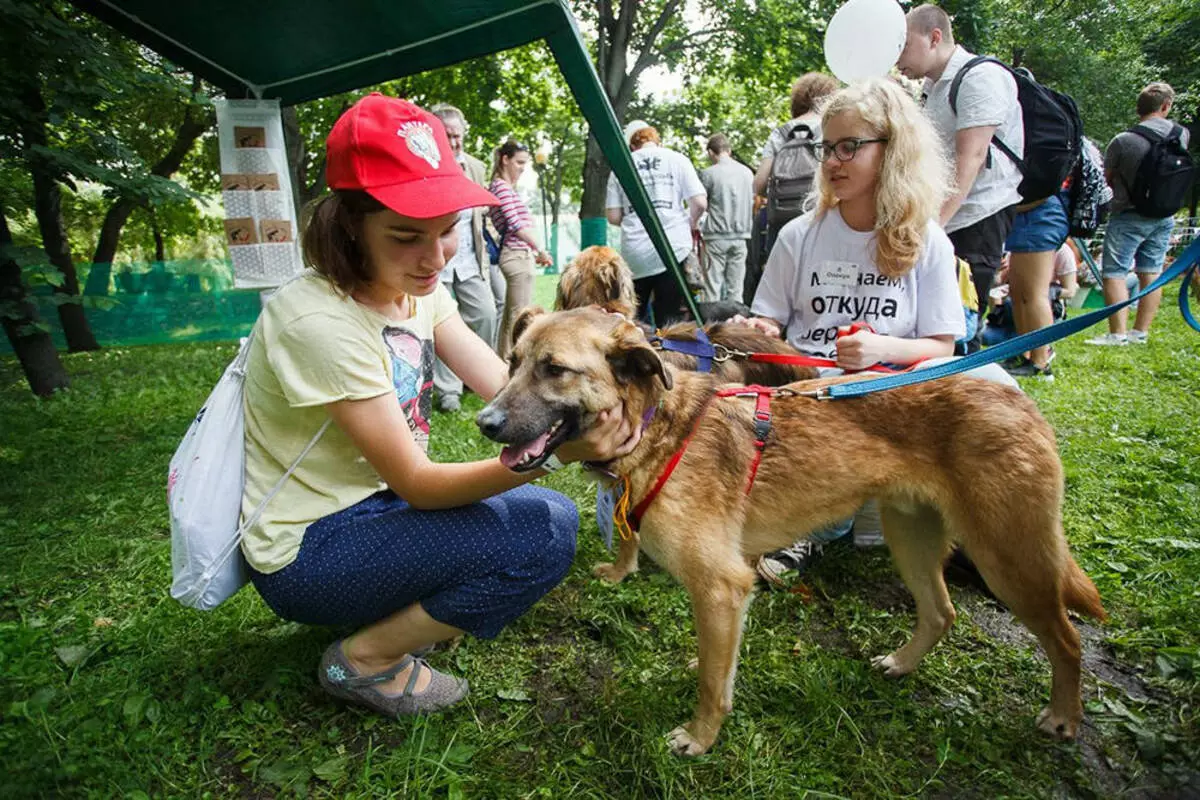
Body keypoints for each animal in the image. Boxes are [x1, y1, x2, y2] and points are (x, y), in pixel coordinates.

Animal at [475, 309, 1104, 762]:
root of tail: (1017, 398)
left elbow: (713, 682)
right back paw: (903, 663)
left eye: (555, 369)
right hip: (911, 537)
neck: (656, 428)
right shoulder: (725, 593)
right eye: (513, 362)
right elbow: (716, 661)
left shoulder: (723, 586)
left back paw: (1064, 716)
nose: (485, 422)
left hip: (1009, 560)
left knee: (1067, 639)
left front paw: (701, 738)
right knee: (941, 612)